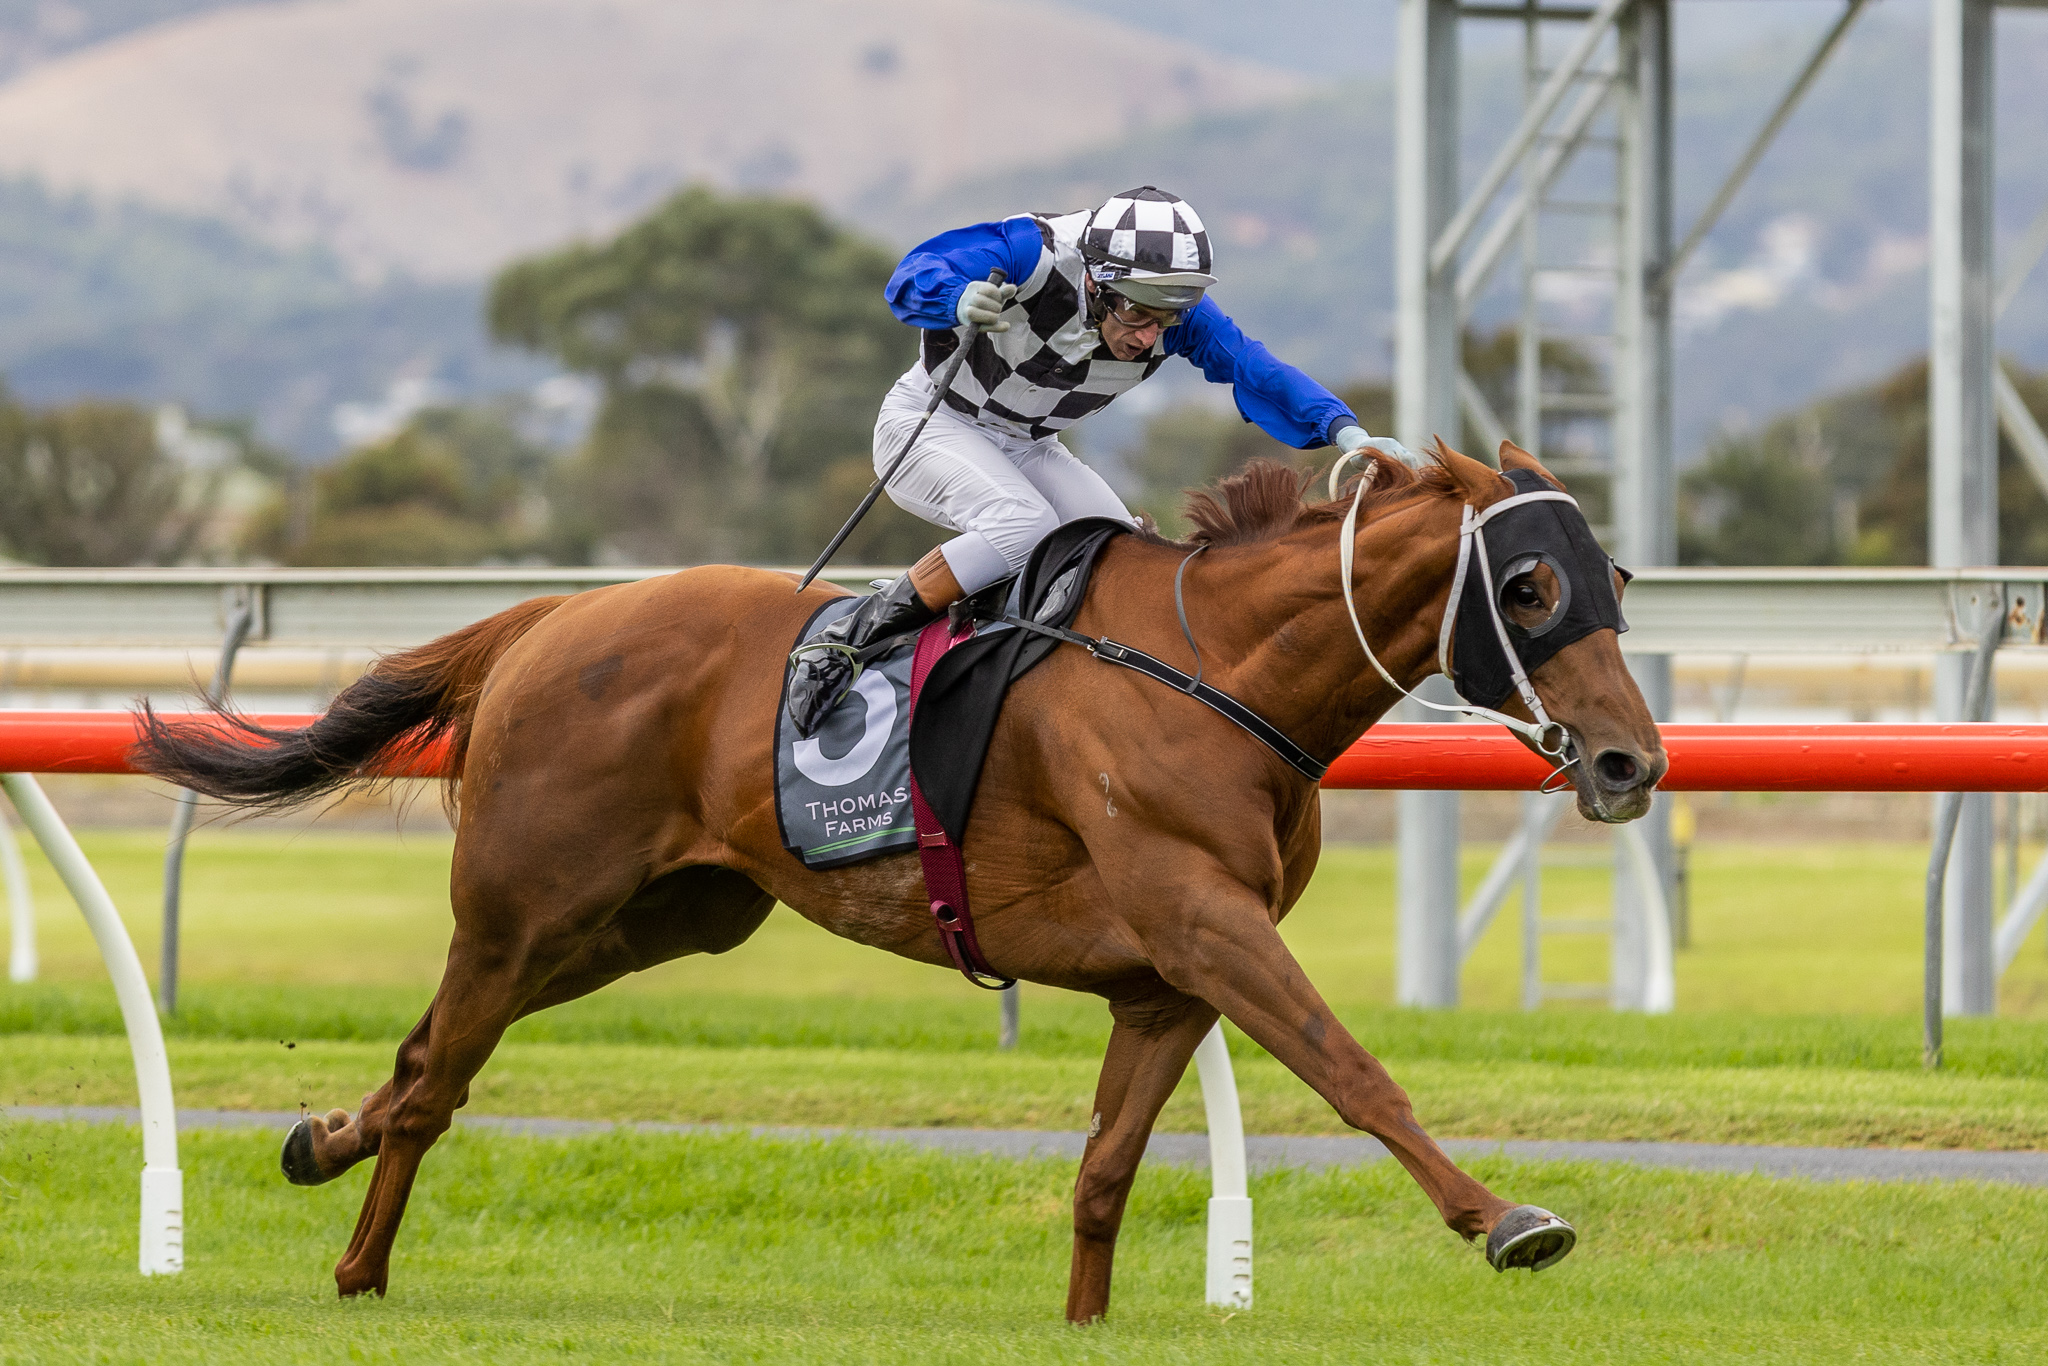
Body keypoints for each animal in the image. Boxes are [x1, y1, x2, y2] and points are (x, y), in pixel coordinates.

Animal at [134, 439, 1665, 1321]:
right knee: (441, 1074)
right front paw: (1507, 1219)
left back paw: (318, 1139)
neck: (1214, 672)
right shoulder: (1204, 921)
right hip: (523, 907)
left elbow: (1106, 1166)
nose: (1631, 759)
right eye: (1526, 586)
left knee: (420, 1057)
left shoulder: (1166, 978)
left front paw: (1084, 1321)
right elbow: (1356, 1071)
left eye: (1613, 574)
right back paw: (359, 1265)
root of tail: (552, 616)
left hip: (661, 919)